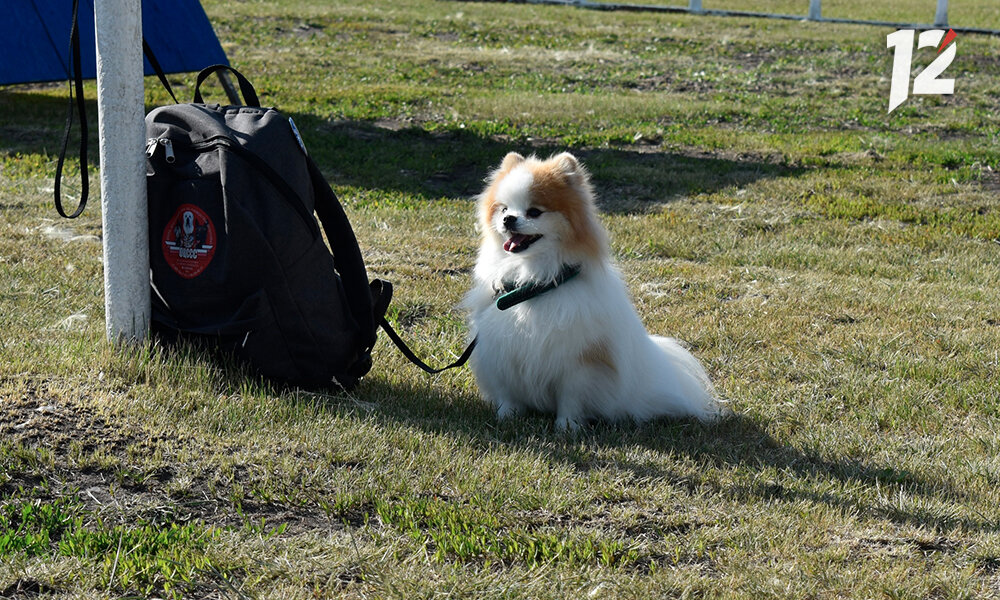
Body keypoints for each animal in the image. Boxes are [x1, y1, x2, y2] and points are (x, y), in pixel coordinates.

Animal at [460, 152, 728, 428]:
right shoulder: (500, 353)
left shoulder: (579, 361)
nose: (508, 219)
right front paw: (506, 417)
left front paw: (567, 426)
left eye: (534, 212)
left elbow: (571, 396)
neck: (533, 284)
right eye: (504, 208)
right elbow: (508, 394)